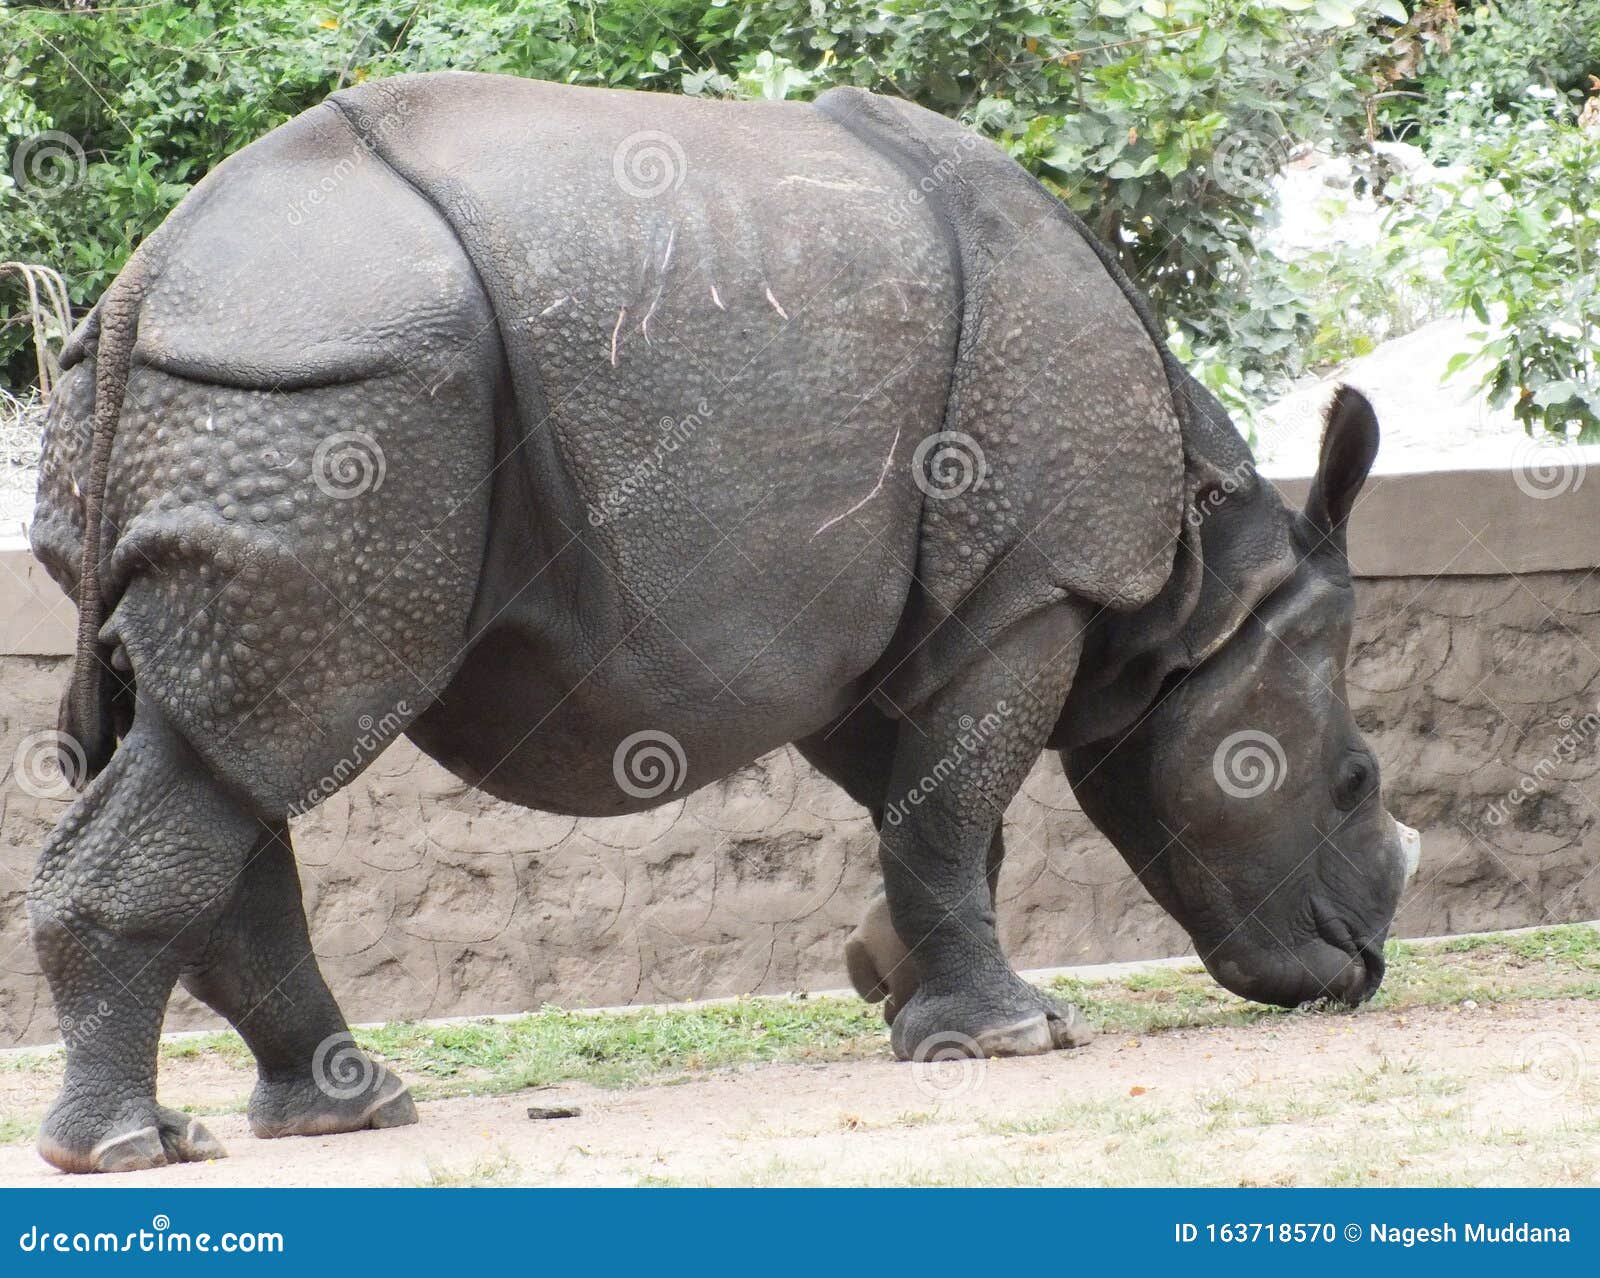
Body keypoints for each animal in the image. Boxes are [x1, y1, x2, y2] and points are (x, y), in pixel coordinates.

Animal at [26, 73, 1416, 1174]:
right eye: (1352, 780)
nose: (1359, 971)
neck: (1205, 596)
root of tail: (154, 269)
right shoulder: (1032, 585)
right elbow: (959, 801)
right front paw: (1012, 1037)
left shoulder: (885, 622)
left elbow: (933, 808)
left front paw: (897, 992)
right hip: (330, 388)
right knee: (280, 725)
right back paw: (130, 1150)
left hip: (240, 389)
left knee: (220, 749)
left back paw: (339, 1114)